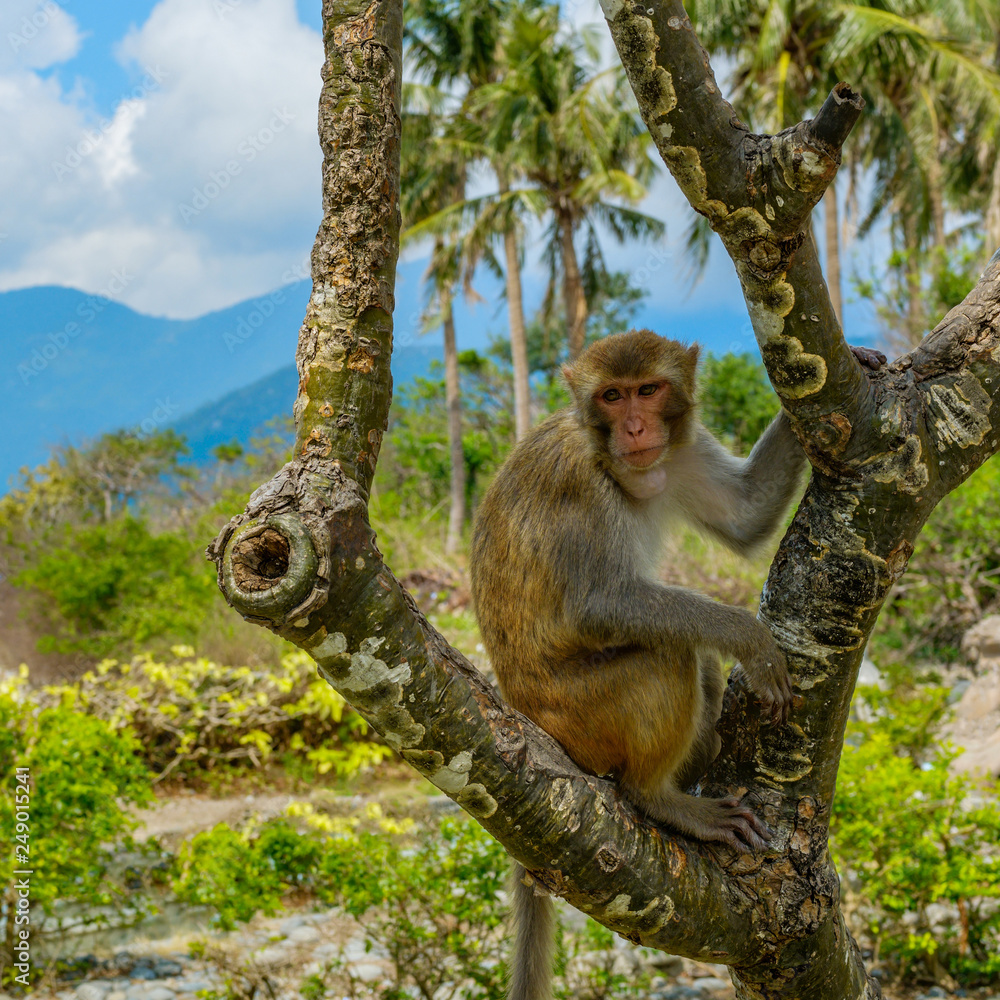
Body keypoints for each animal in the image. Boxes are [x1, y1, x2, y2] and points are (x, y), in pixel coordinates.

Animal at [469, 329, 812, 1000]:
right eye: (611, 395)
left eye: (648, 390)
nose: (633, 427)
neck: (618, 465)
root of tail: (523, 714)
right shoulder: (579, 482)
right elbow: (597, 605)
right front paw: (748, 635)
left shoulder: (679, 450)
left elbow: (746, 513)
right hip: (582, 717)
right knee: (670, 656)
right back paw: (659, 797)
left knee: (689, 659)